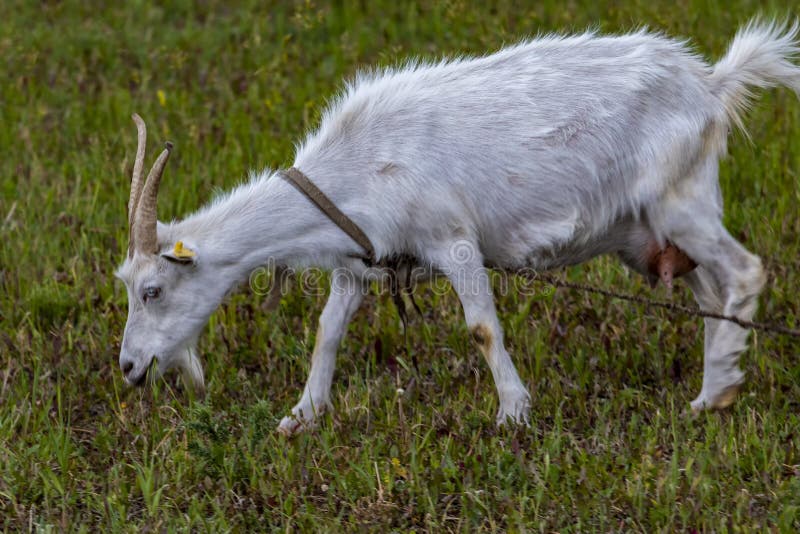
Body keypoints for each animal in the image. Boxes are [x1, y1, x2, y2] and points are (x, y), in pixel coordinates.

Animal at [116, 20, 800, 435]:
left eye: (153, 290)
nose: (127, 367)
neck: (357, 161)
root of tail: (711, 84)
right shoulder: (358, 261)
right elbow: (327, 332)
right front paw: (302, 416)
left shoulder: (454, 241)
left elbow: (481, 328)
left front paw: (513, 415)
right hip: (651, 232)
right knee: (709, 295)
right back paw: (715, 390)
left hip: (680, 200)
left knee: (745, 271)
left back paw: (716, 391)